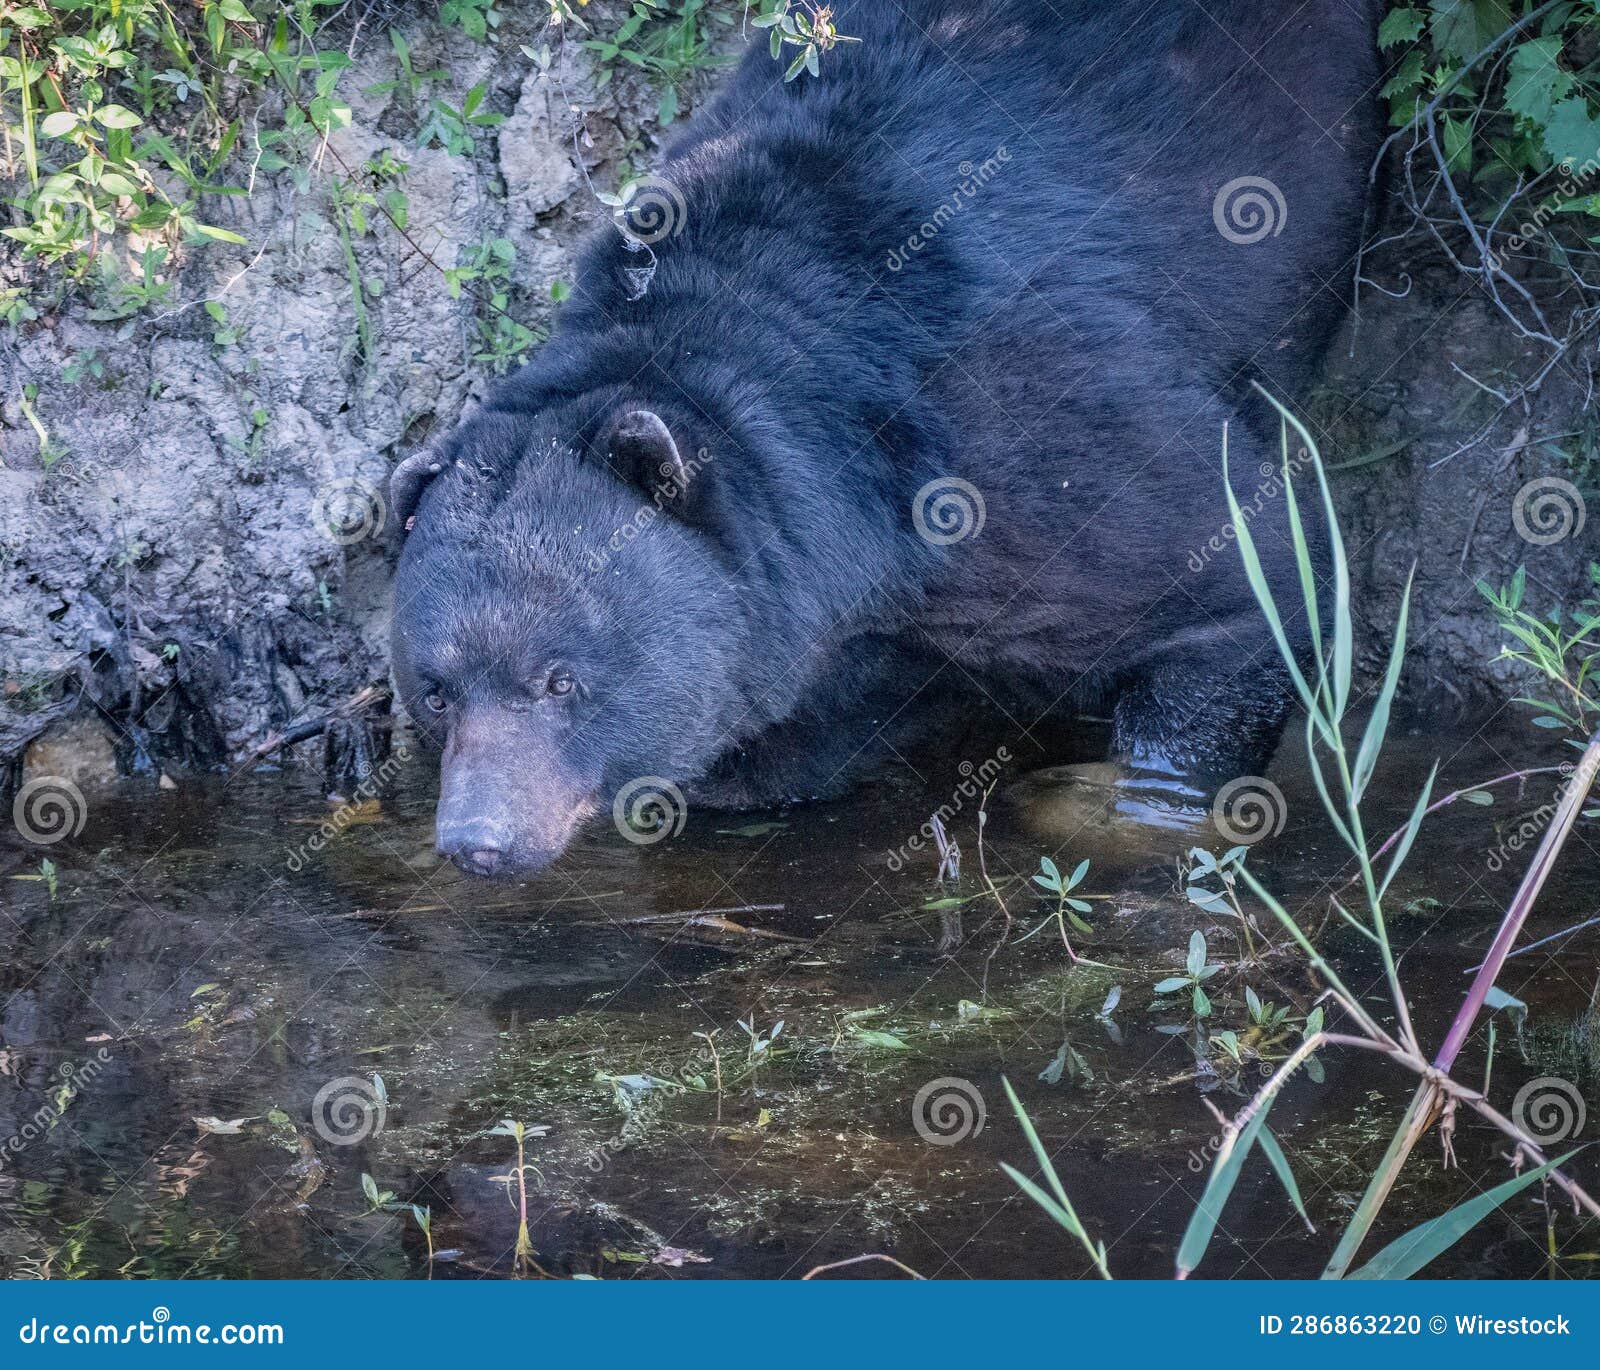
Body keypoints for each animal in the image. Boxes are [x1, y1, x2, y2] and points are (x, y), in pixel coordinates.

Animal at [390, 0, 1385, 876]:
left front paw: (1138, 802)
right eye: (435, 690)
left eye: (560, 678)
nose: (478, 841)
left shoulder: (1026, 429)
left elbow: (1238, 566)